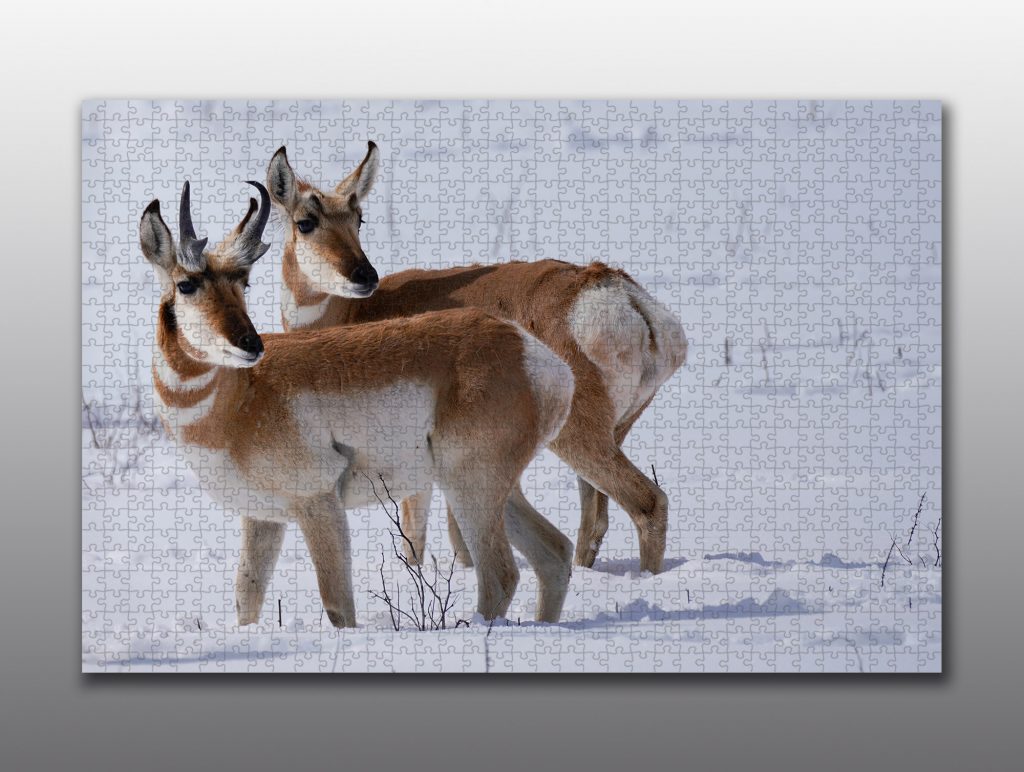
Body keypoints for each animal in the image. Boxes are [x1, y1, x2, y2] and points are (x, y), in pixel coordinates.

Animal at [141, 180, 575, 627]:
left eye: (243, 283)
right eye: (186, 285)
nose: (251, 344)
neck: (240, 396)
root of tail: (532, 354)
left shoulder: (319, 503)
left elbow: (337, 604)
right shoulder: (263, 516)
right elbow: (247, 597)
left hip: (471, 485)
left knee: (501, 574)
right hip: (491, 488)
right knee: (555, 553)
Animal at [267, 142, 687, 574]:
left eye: (359, 218)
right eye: (305, 222)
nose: (365, 275)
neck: (353, 313)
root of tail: (615, 290)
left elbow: (415, 533)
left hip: (579, 433)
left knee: (648, 502)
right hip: (614, 430)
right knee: (595, 520)